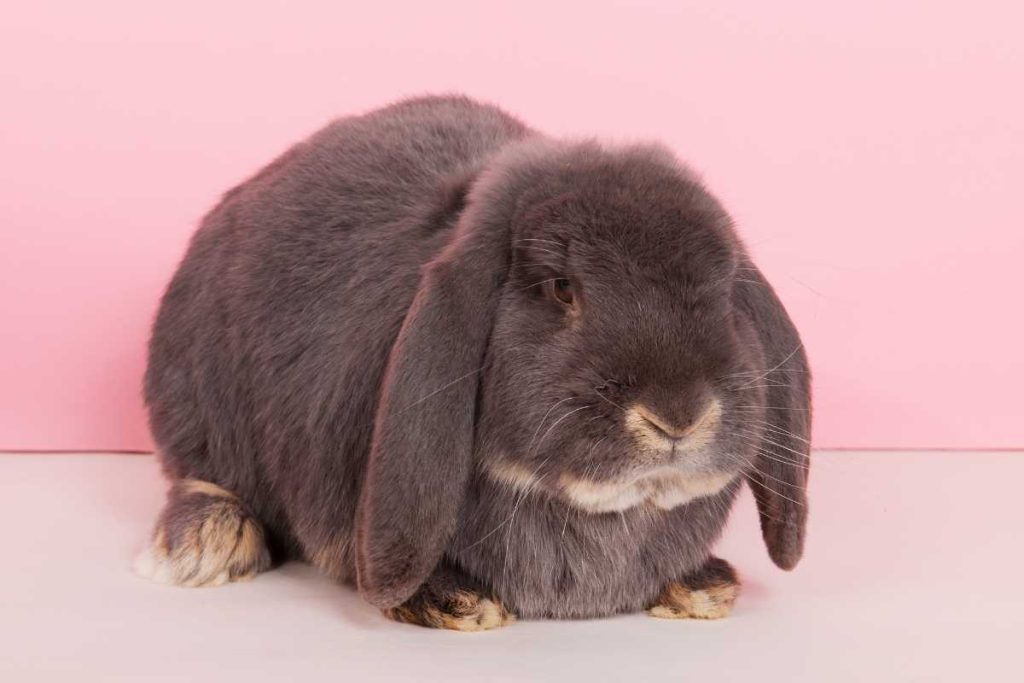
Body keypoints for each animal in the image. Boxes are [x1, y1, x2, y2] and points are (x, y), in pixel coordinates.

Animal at [136, 94, 811, 630]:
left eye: (723, 290)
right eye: (562, 288)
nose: (678, 417)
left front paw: (702, 585)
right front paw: (454, 599)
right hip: (199, 400)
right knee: (202, 474)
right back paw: (205, 544)